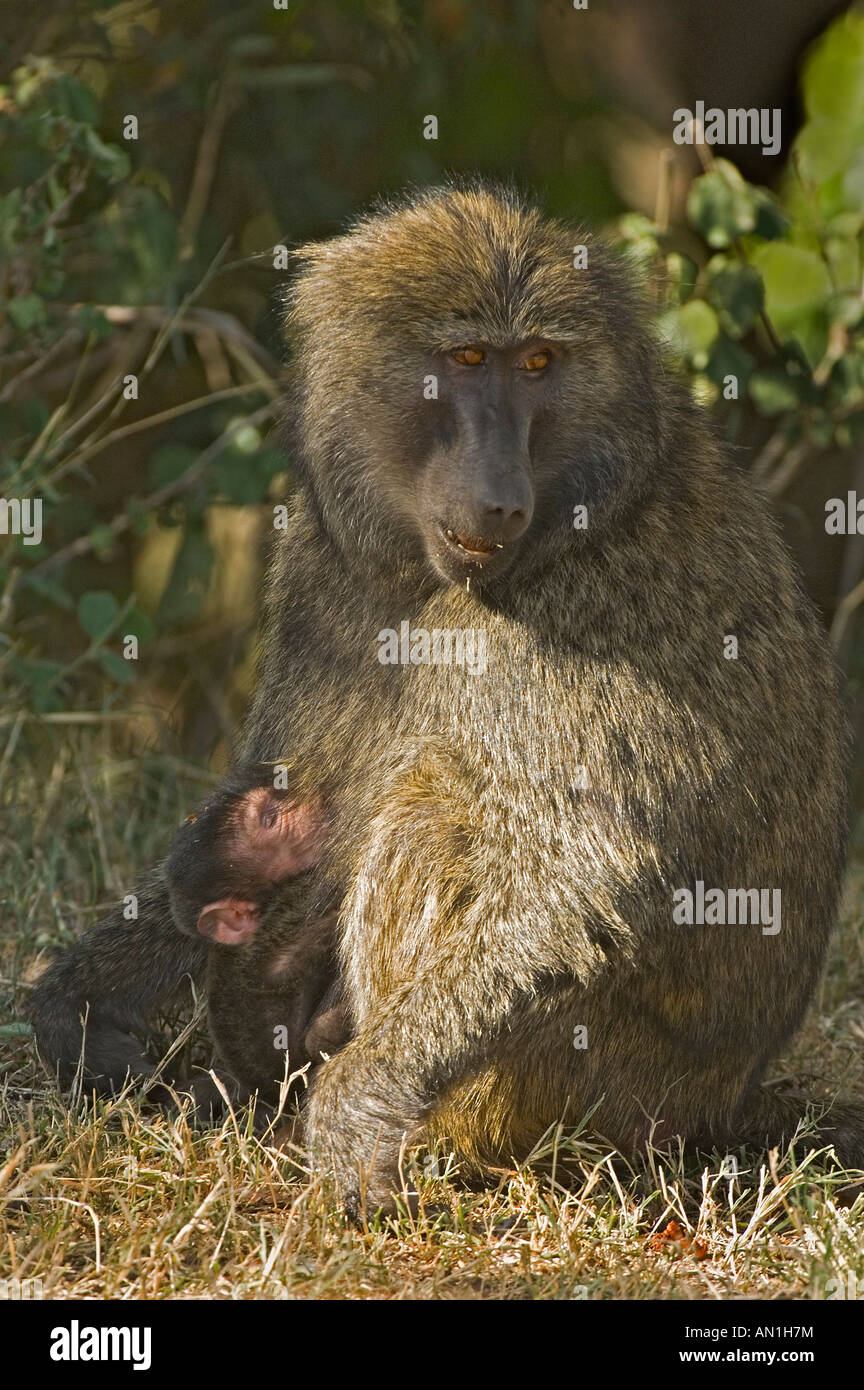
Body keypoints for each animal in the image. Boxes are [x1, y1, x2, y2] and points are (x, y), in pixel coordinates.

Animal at [30, 182, 864, 1219]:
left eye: (539, 363)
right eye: (466, 360)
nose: (499, 495)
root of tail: (724, 1105)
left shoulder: (590, 609)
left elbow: (589, 875)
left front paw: (358, 1101)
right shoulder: (327, 566)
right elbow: (290, 780)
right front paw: (82, 995)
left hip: (585, 1091)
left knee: (435, 814)